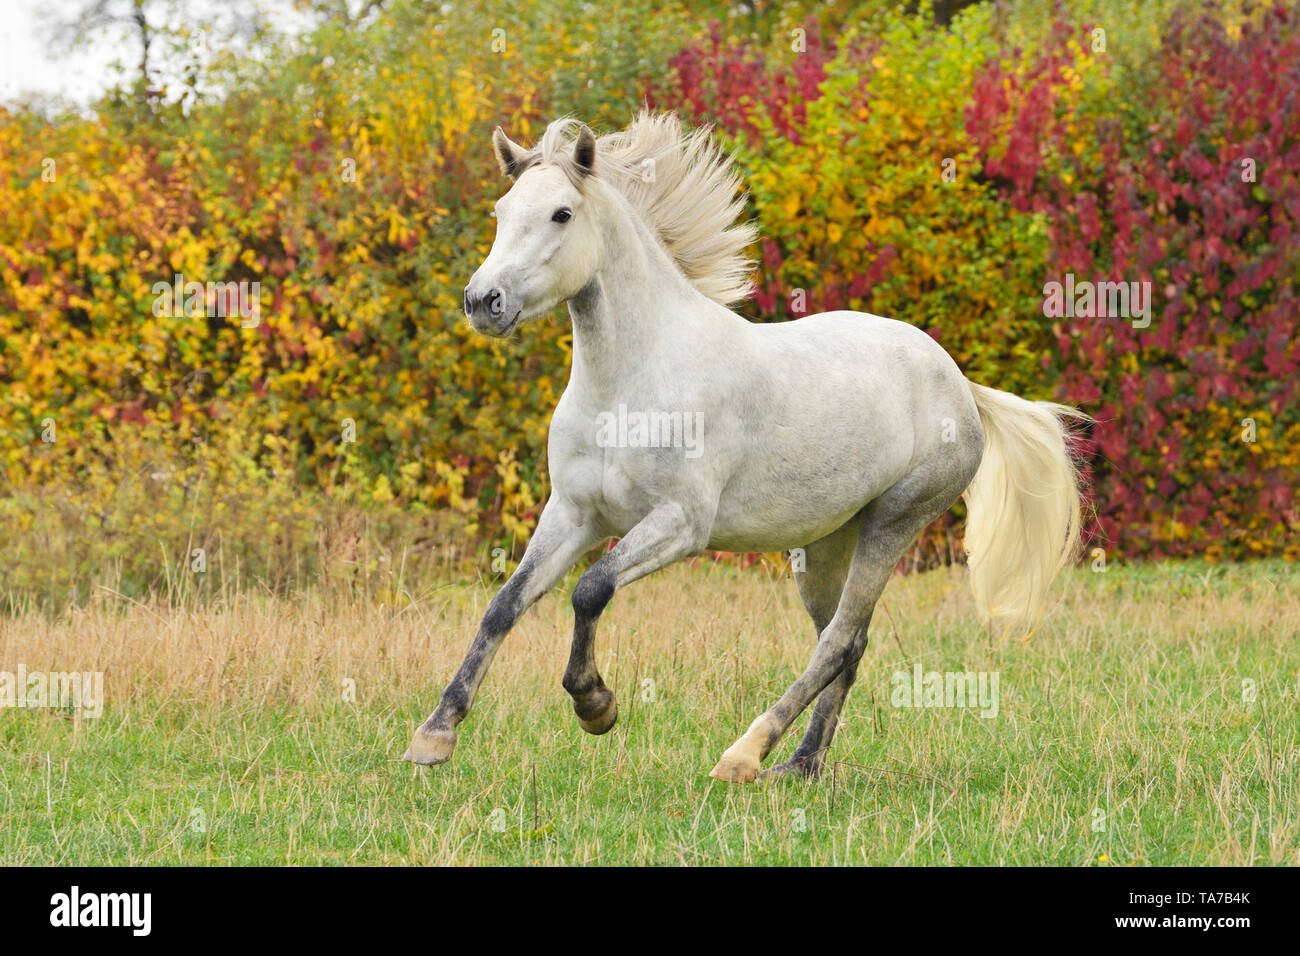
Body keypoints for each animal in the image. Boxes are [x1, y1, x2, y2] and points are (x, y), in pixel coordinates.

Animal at [404, 112, 1087, 782]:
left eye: (561, 214)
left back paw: (744, 755)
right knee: (847, 644)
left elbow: (590, 588)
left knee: (838, 641)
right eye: (502, 209)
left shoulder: (681, 523)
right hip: (826, 541)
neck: (626, 384)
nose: (483, 302)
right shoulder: (573, 514)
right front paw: (434, 737)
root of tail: (960, 383)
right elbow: (505, 604)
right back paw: (800, 766)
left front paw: (595, 705)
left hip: (895, 521)